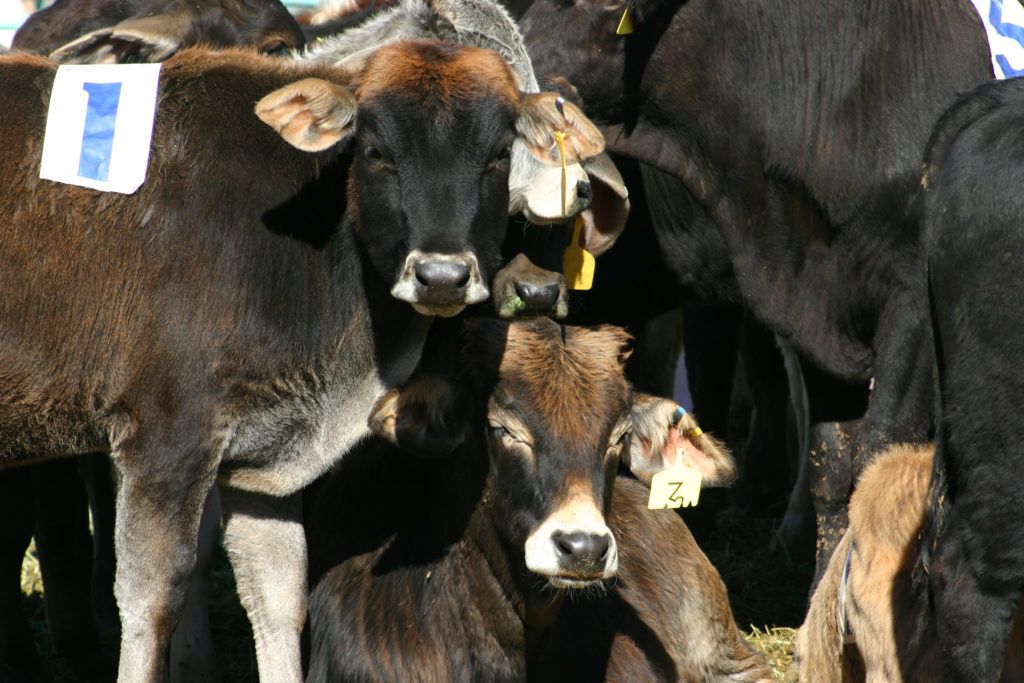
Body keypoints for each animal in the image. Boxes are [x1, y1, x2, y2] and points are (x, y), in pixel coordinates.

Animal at [0, 39, 604, 682]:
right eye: (374, 151)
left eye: (498, 155)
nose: (442, 274)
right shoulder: (165, 435)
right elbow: (150, 599)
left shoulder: (261, 460)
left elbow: (280, 597)